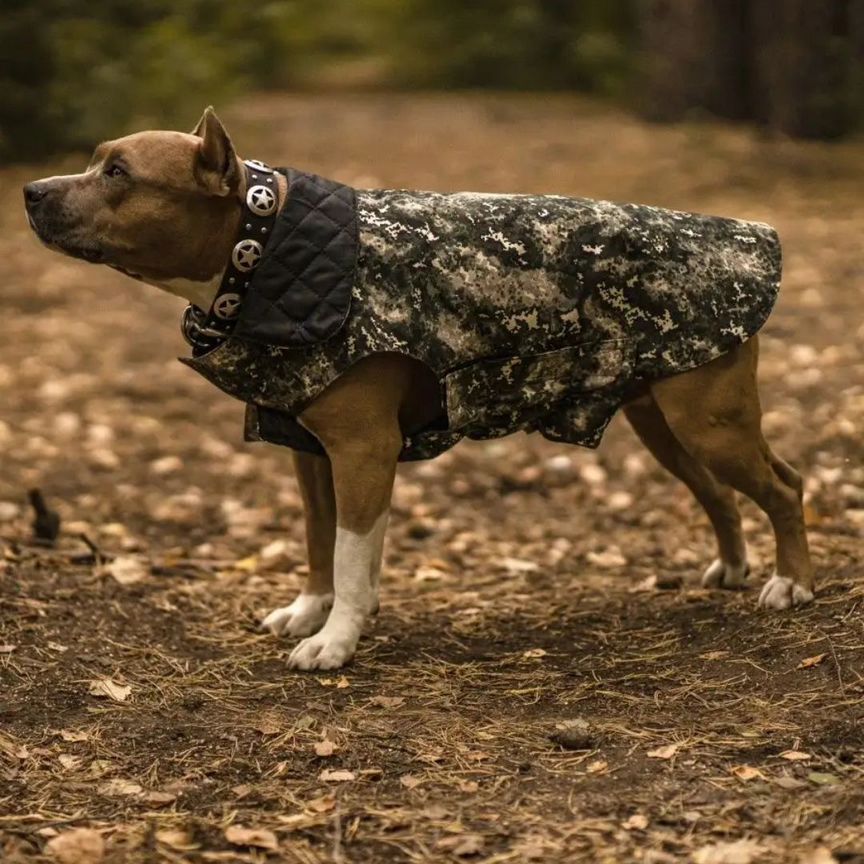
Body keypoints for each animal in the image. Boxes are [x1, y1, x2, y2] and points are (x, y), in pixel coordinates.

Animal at [23, 109, 812, 668]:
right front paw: (311, 610)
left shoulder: (363, 450)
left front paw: (336, 641)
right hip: (666, 425)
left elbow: (351, 554)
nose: (30, 191)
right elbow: (319, 540)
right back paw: (734, 568)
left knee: (785, 486)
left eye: (117, 172)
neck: (260, 242)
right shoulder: (309, 451)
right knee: (720, 494)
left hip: (710, 421)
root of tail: (750, 233)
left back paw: (793, 584)